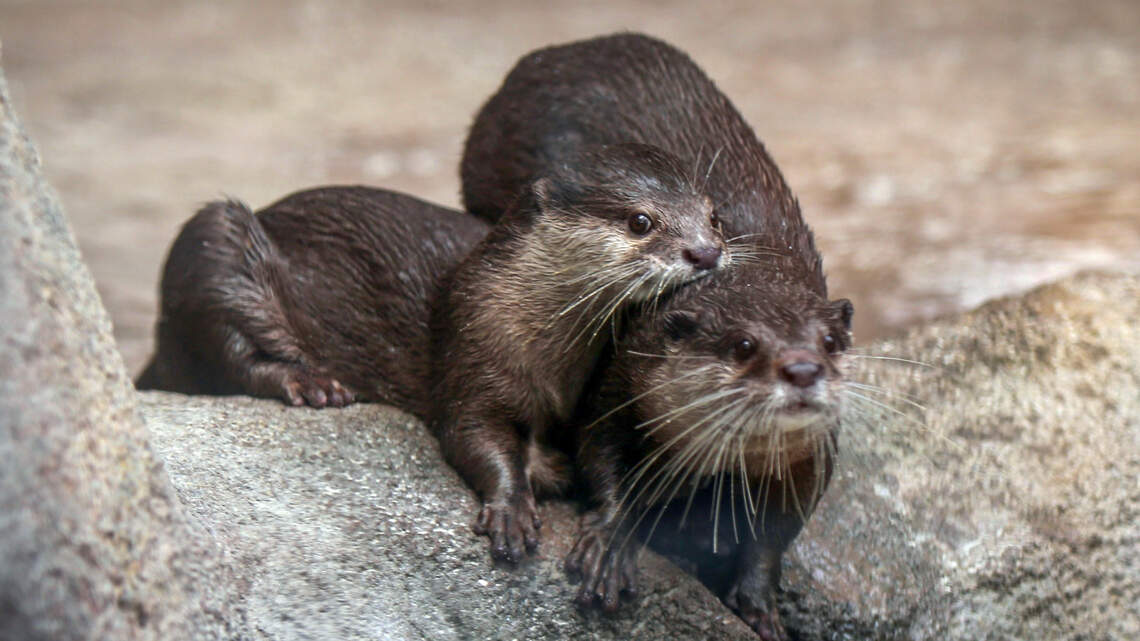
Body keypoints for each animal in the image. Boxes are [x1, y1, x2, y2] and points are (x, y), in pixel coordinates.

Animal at [432, 142, 726, 564]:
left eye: (714, 216)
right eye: (640, 221)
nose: (705, 252)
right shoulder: (471, 352)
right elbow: (469, 433)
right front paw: (512, 511)